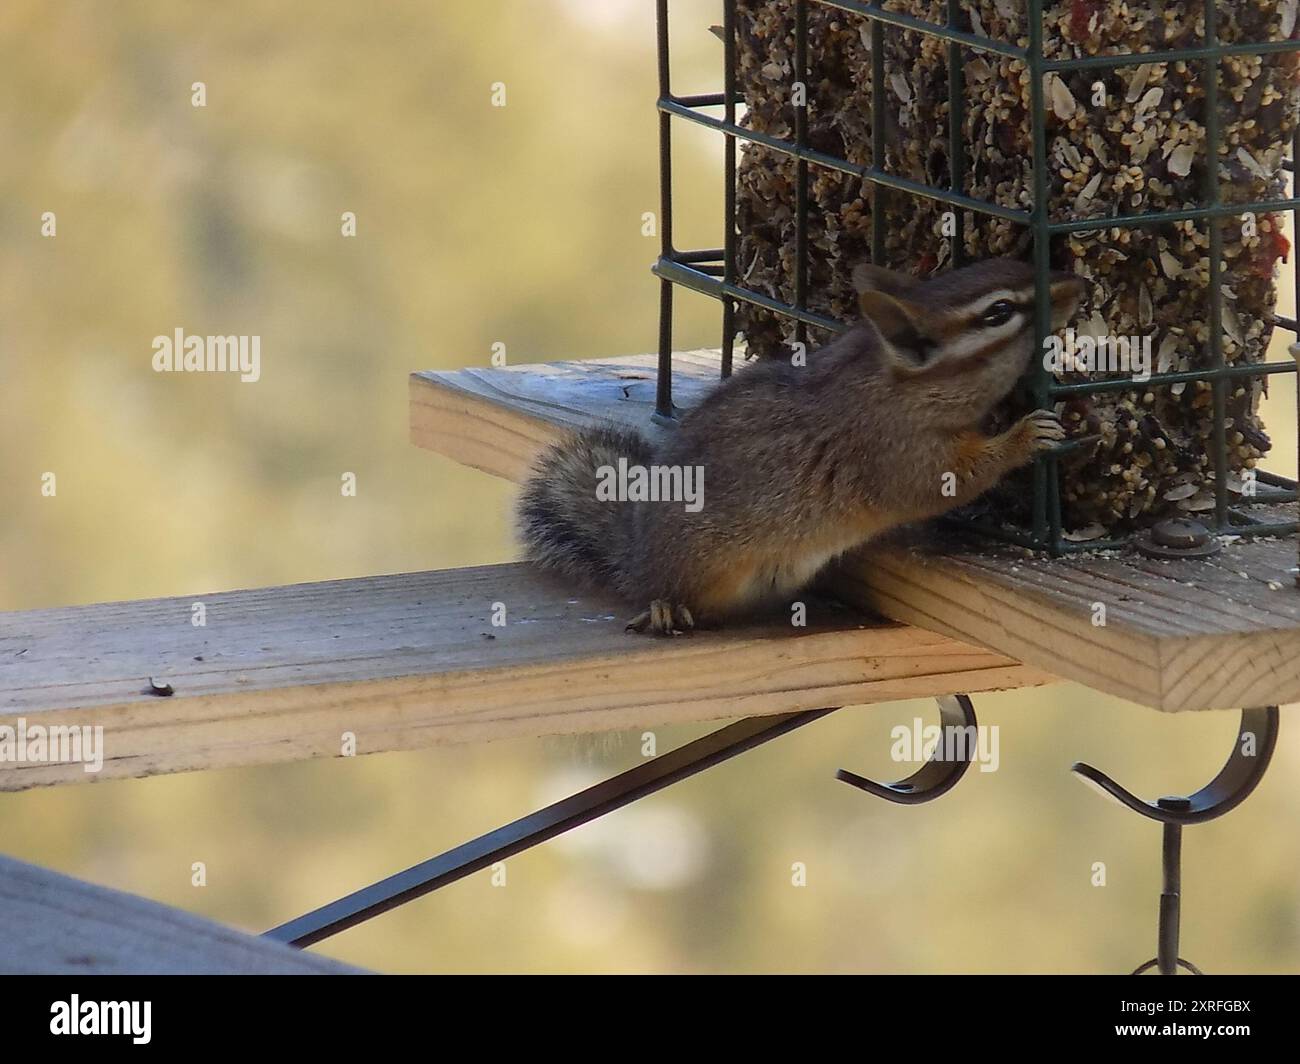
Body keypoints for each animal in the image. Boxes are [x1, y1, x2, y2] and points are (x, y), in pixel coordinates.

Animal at [518, 258, 1085, 635]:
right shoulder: (901, 457)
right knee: (658, 590)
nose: (1078, 282)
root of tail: (631, 550)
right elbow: (952, 482)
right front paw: (1025, 436)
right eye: (1000, 311)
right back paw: (663, 608)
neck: (897, 385)